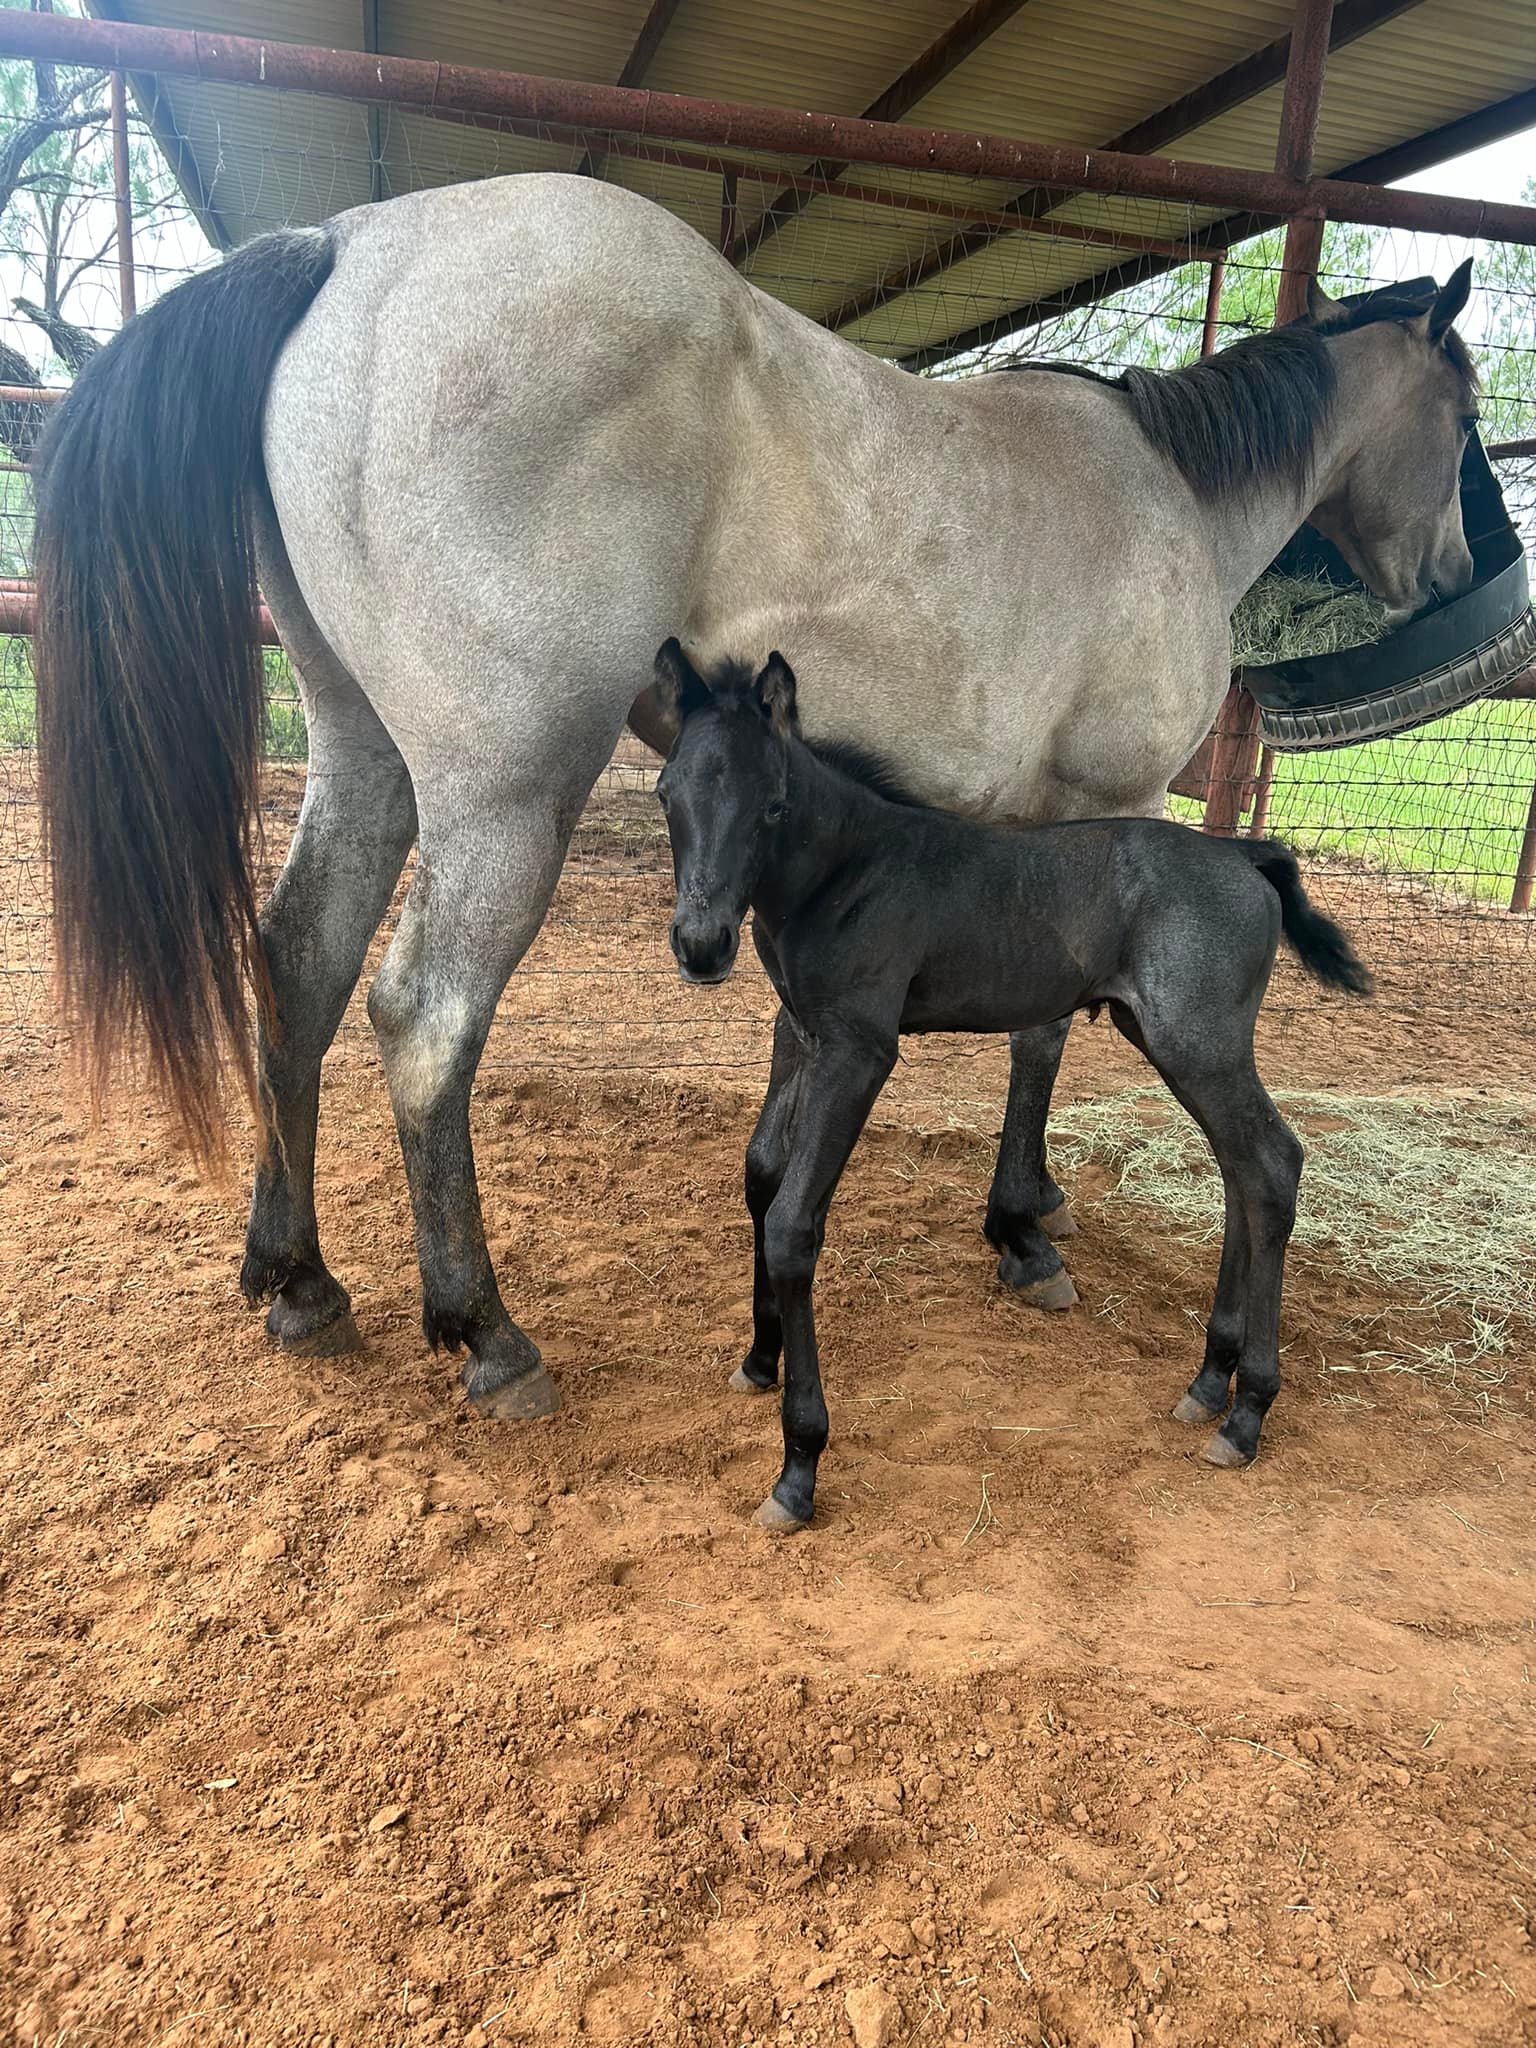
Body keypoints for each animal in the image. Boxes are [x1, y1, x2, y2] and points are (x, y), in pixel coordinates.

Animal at [29, 171, 1475, 1420]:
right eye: (1465, 418)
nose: (1451, 575)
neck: (1168, 491)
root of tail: (342, 245)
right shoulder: (1102, 804)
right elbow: (1040, 1037)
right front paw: (1023, 1226)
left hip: (365, 755)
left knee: (298, 967)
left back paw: (297, 1276)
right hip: (504, 794)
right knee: (424, 1017)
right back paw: (485, 1332)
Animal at [652, 640, 1371, 1528]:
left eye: (774, 806)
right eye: (667, 792)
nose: (702, 944)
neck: (843, 872)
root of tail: (1245, 855)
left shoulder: (859, 1049)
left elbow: (793, 1222)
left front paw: (798, 1465)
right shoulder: (801, 1033)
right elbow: (760, 1174)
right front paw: (759, 1358)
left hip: (1197, 1042)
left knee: (1270, 1164)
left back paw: (1247, 1414)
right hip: (1172, 1039)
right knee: (1244, 1171)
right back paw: (1210, 1383)